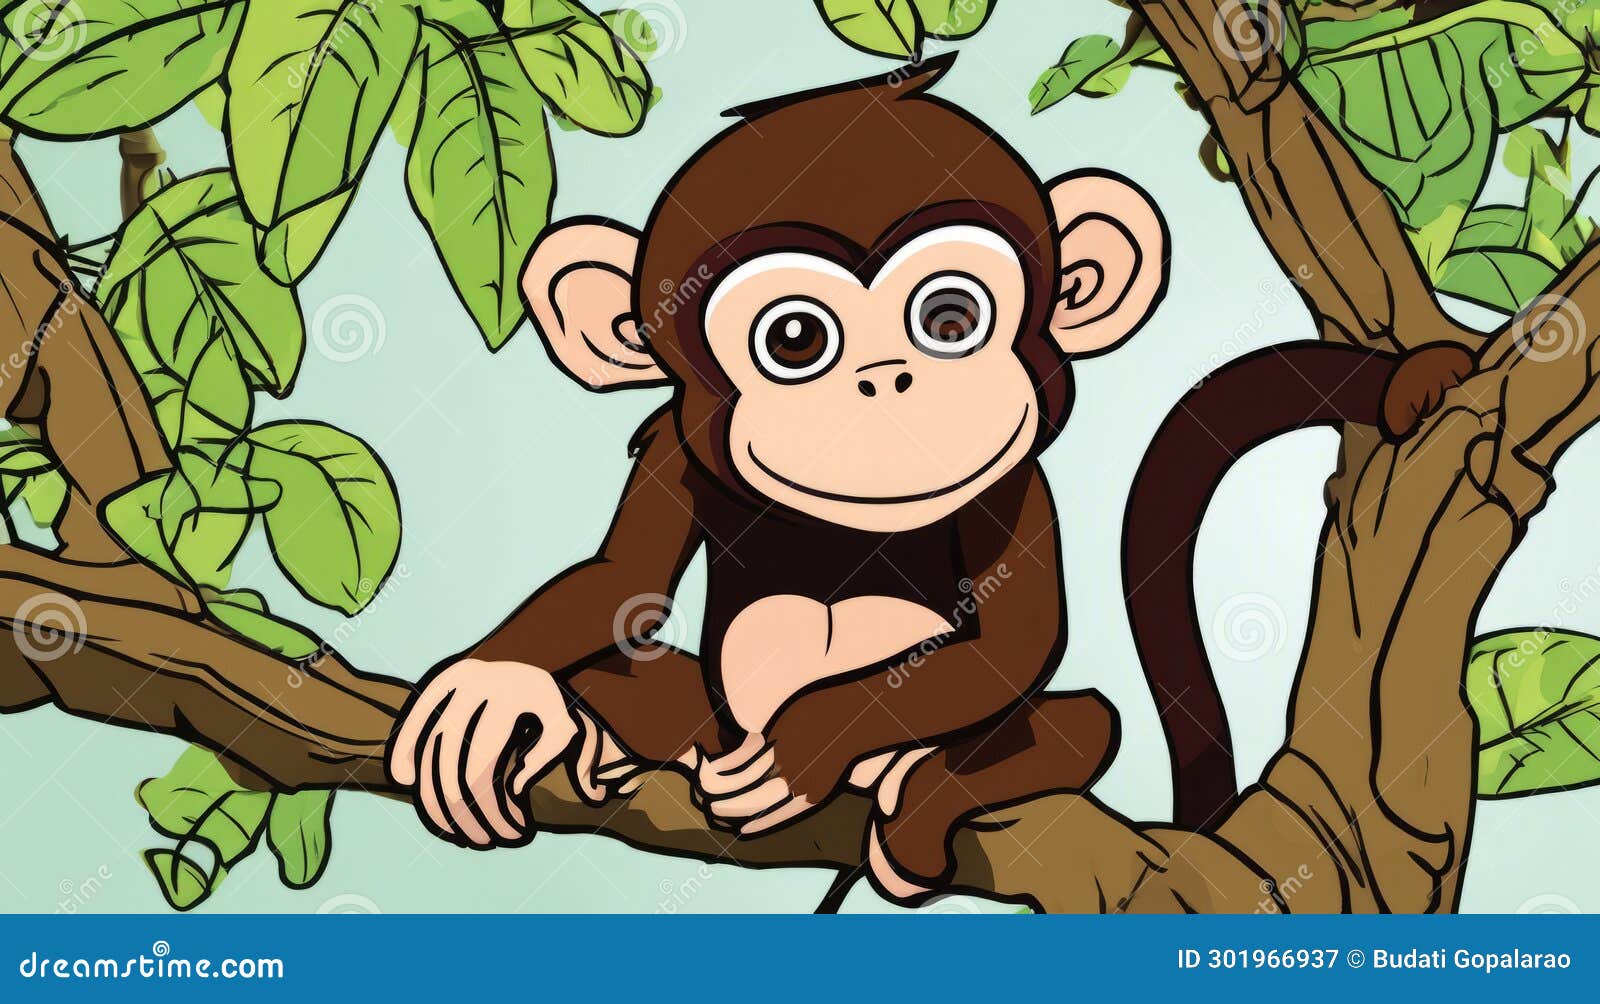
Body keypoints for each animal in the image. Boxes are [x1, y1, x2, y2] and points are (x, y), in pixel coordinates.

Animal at [387, 55, 1474, 905]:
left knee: (1084, 721)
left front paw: (805, 744)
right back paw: (592, 732)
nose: (886, 378)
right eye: (794, 339)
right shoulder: (674, 458)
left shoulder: (1010, 483)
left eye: (950, 318)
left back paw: (915, 812)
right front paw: (496, 686)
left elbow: (1014, 643)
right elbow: (621, 583)